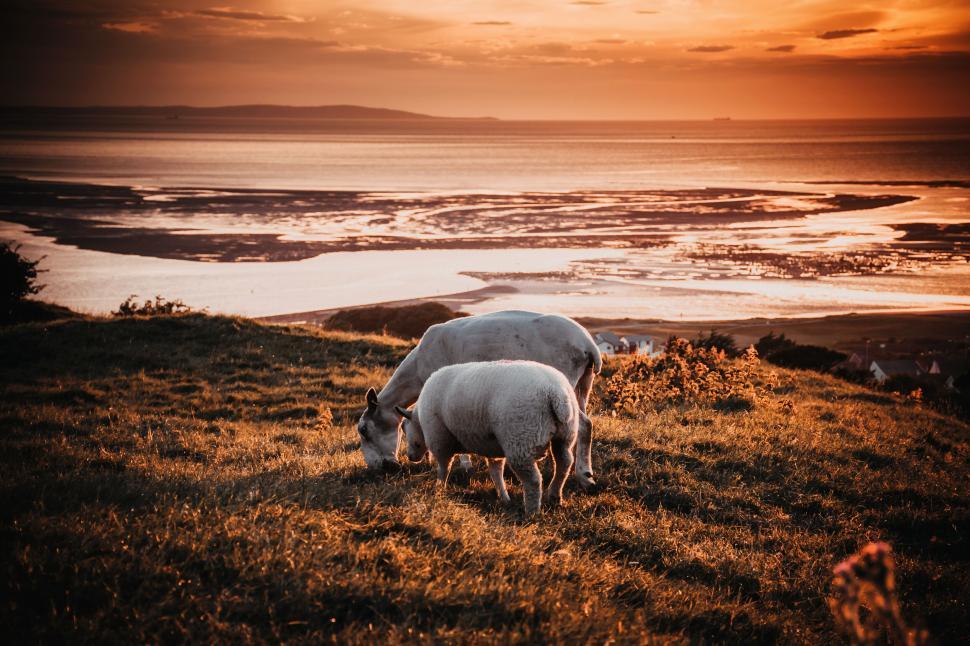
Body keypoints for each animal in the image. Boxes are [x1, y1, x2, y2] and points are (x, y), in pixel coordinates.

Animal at [394, 360, 590, 515]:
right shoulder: (493, 446)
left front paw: (439, 489)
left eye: (403, 428)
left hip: (520, 440)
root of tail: (556, 393)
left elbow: (444, 468)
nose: (410, 457)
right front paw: (503, 497)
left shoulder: (439, 440)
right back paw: (555, 496)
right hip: (565, 435)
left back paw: (532, 512)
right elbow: (496, 472)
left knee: (534, 480)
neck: (420, 419)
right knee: (564, 463)